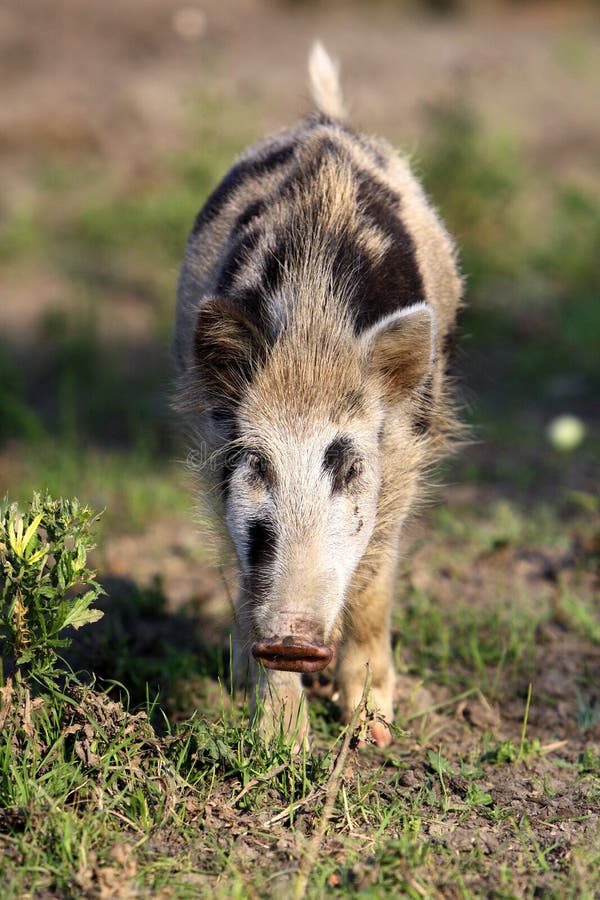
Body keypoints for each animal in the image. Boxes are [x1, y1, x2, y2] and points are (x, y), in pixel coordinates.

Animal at [174, 44, 462, 748]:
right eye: (256, 463)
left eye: (350, 465)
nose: (295, 641)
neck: (312, 336)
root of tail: (326, 123)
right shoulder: (211, 446)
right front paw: (281, 748)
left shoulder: (406, 451)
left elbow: (375, 578)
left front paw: (372, 730)